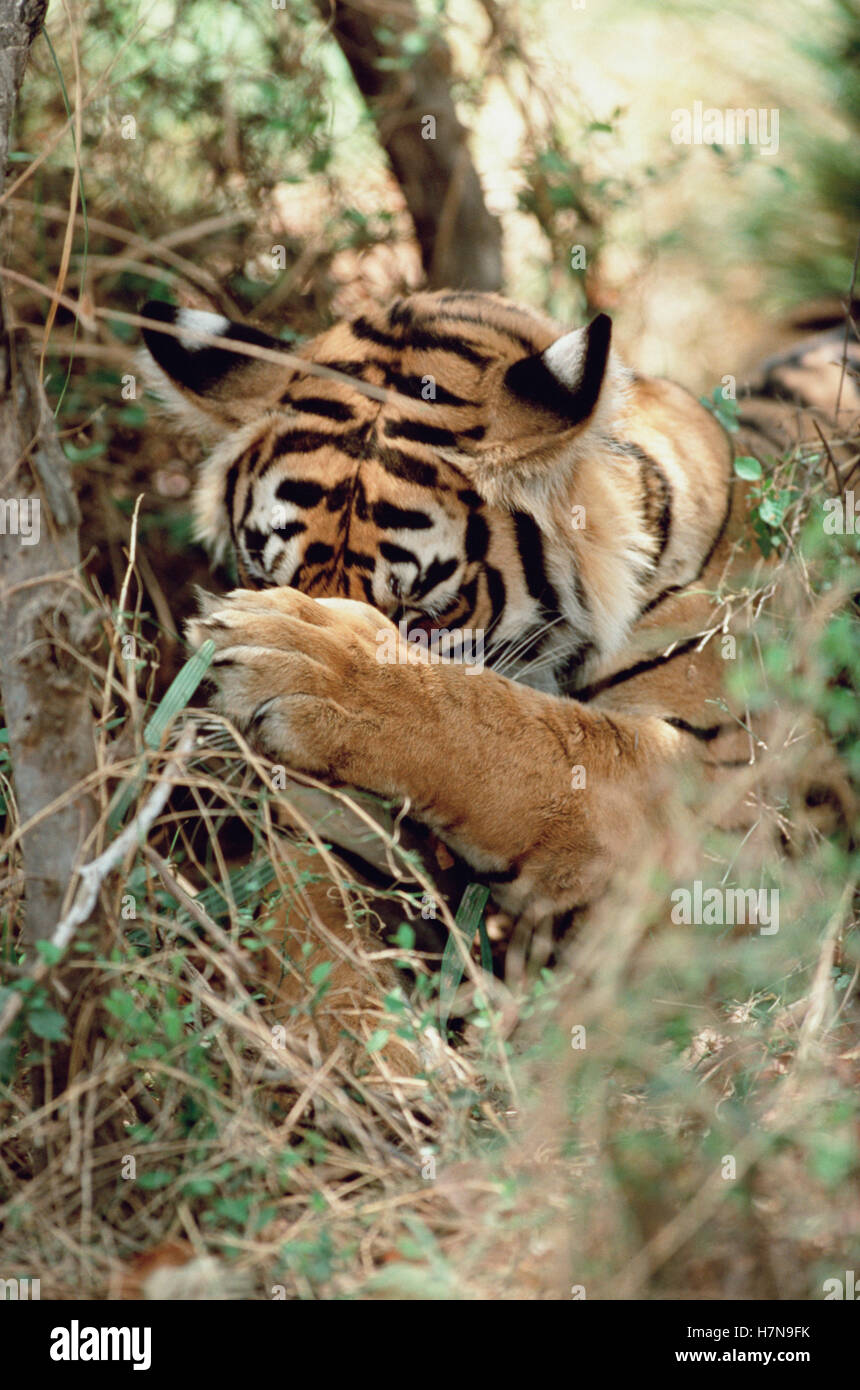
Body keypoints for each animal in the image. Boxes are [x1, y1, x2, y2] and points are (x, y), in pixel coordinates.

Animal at [140, 290, 858, 1044]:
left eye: (427, 618)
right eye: (262, 576)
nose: (309, 803)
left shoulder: (741, 806)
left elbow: (515, 733)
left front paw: (311, 661)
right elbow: (312, 932)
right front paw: (370, 1050)